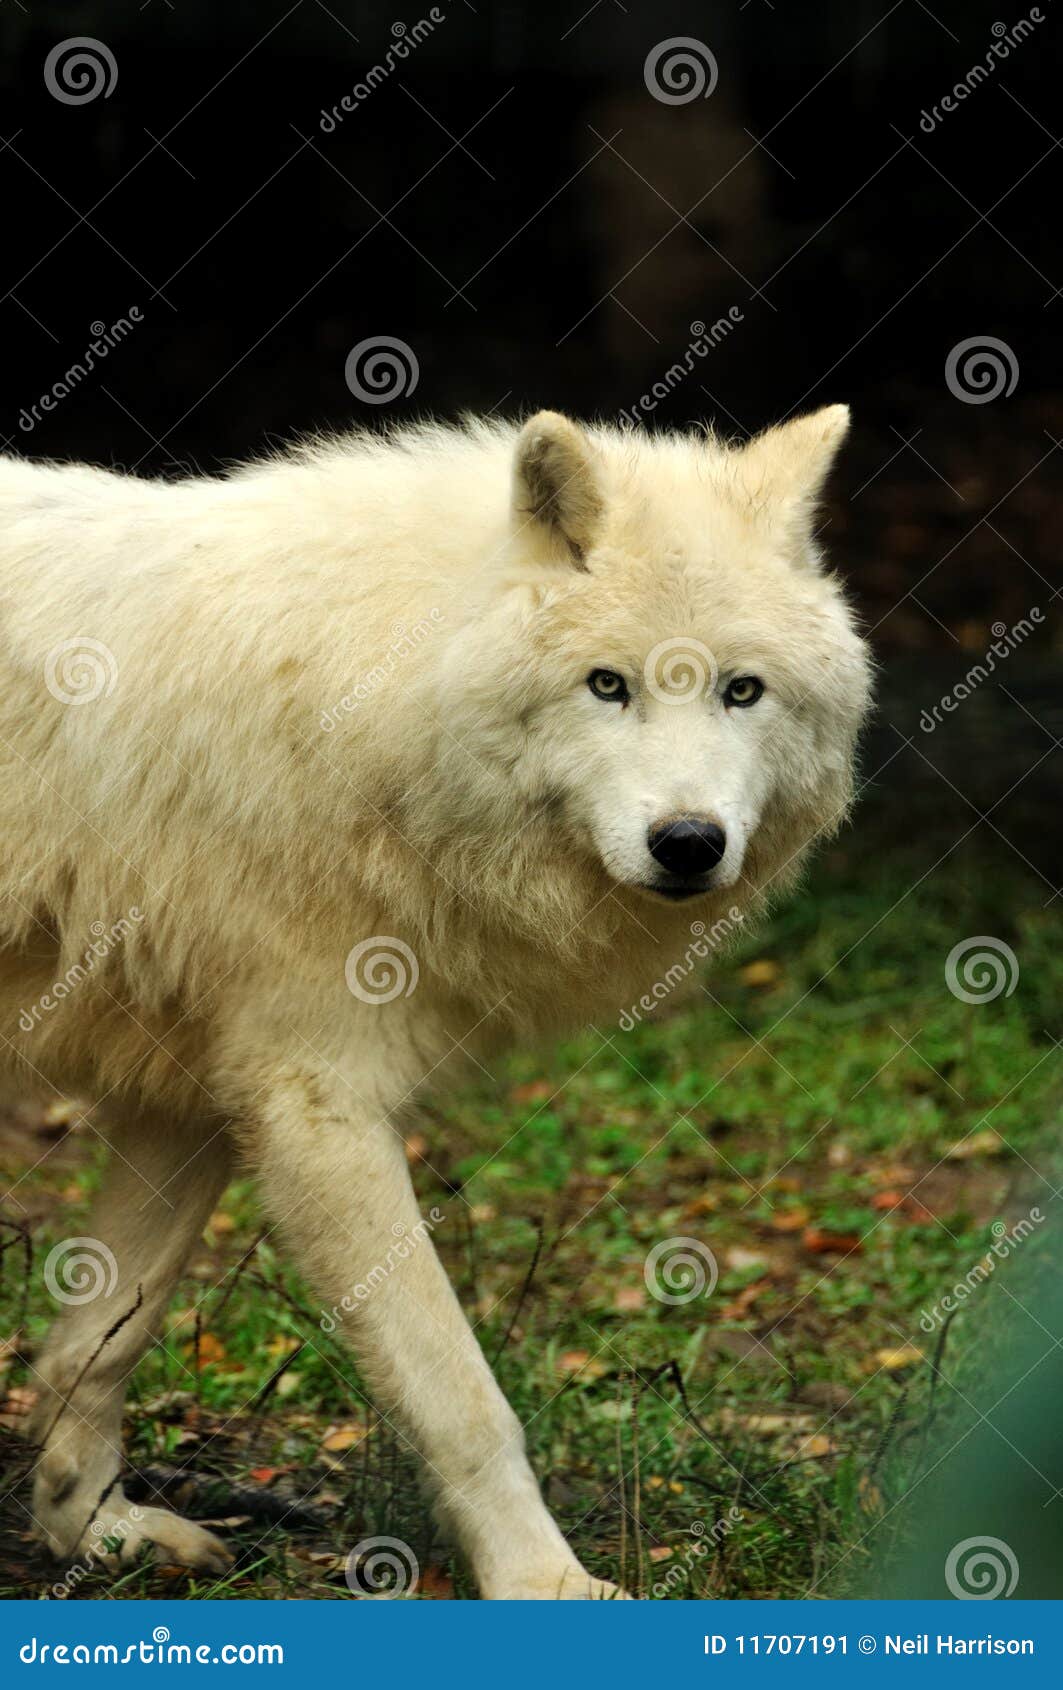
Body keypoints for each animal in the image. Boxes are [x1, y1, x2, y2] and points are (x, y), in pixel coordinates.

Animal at [0, 406, 870, 1597]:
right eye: (608, 685)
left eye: (741, 690)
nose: (689, 843)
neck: (382, 708)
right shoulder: (316, 1101)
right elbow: (462, 1398)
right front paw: (545, 1584)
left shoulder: (193, 1095)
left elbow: (100, 1337)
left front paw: (90, 1530)